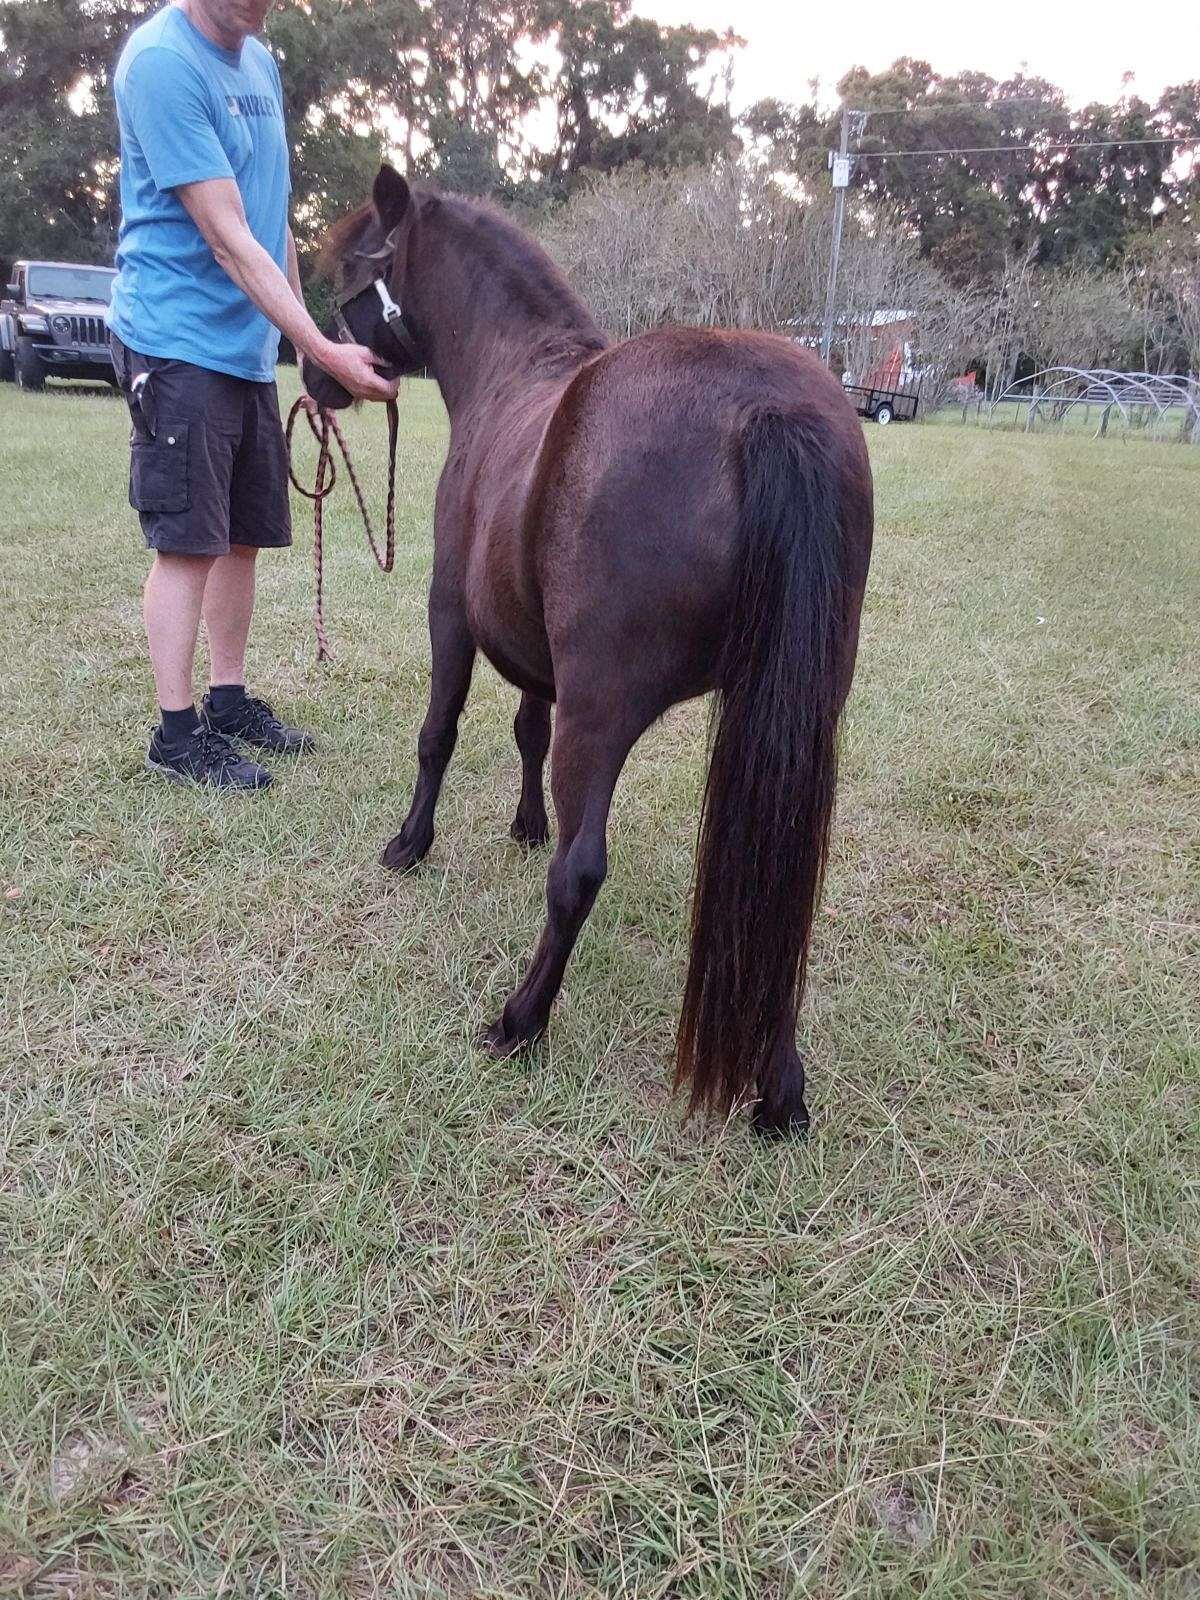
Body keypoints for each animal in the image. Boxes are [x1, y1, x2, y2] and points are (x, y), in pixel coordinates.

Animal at [303, 164, 873, 1137]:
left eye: (352, 269)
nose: (311, 367)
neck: (515, 371)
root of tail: (771, 408)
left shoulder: (450, 617)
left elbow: (438, 735)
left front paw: (411, 842)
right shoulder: (537, 658)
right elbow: (527, 730)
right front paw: (524, 822)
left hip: (604, 709)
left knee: (579, 872)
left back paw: (521, 1019)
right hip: (800, 716)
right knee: (782, 881)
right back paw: (780, 1087)